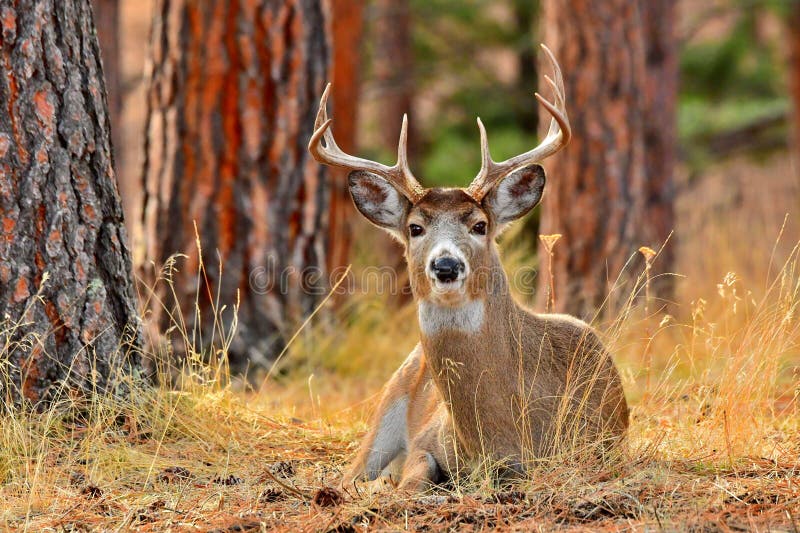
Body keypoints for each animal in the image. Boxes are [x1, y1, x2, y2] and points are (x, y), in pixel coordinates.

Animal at [308, 45, 629, 493]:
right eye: (415, 227)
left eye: (480, 225)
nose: (445, 265)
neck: (501, 437)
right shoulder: (427, 440)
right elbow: (413, 479)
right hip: (386, 406)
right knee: (349, 475)